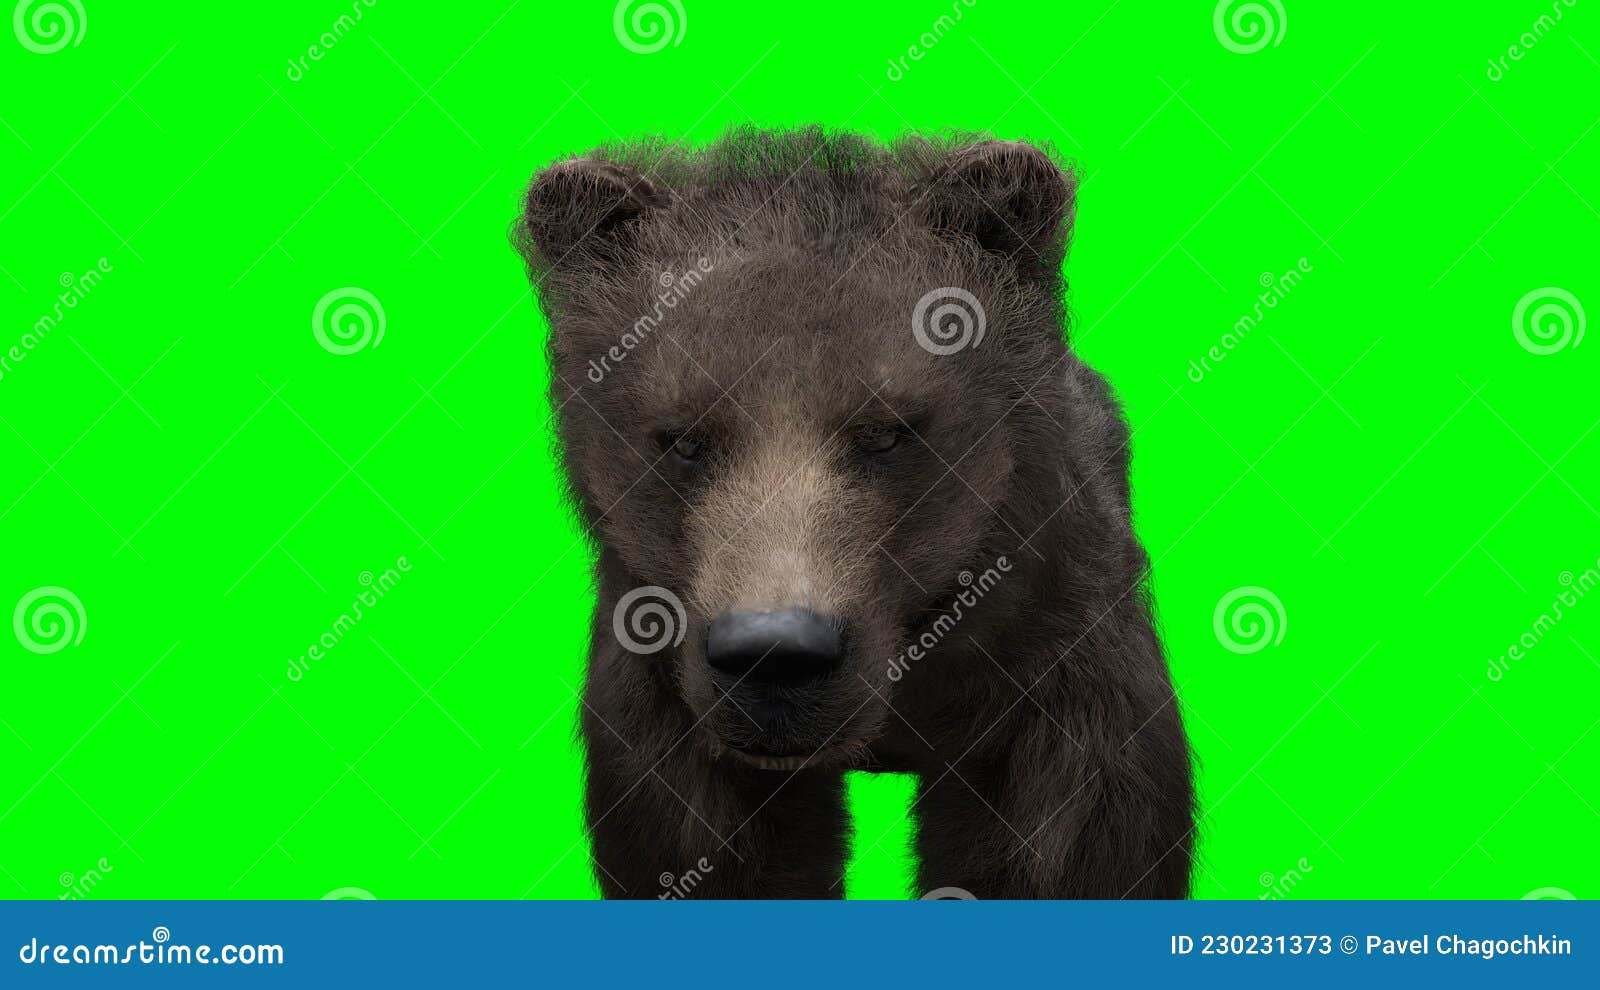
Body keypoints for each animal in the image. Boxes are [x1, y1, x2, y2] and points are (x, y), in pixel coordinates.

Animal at [514, 126, 1194, 899]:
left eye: (885, 431)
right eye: (684, 439)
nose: (775, 654)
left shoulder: (1051, 678)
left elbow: (1065, 851)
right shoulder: (671, 708)